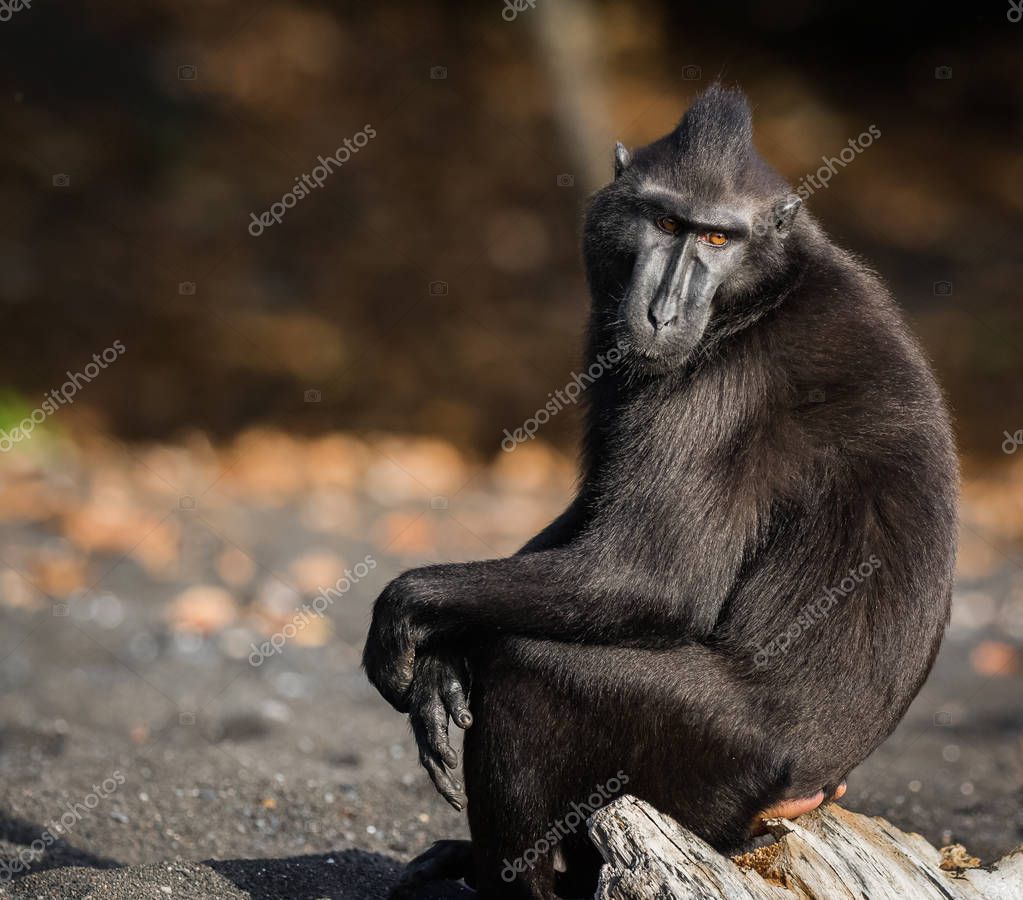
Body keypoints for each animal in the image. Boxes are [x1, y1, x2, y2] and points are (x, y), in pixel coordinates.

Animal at [363, 84, 959, 898]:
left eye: (717, 239)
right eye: (668, 223)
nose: (661, 313)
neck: (764, 294)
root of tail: (820, 783)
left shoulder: (721, 392)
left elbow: (646, 581)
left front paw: (408, 616)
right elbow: (591, 521)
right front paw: (443, 661)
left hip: (723, 759)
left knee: (531, 673)